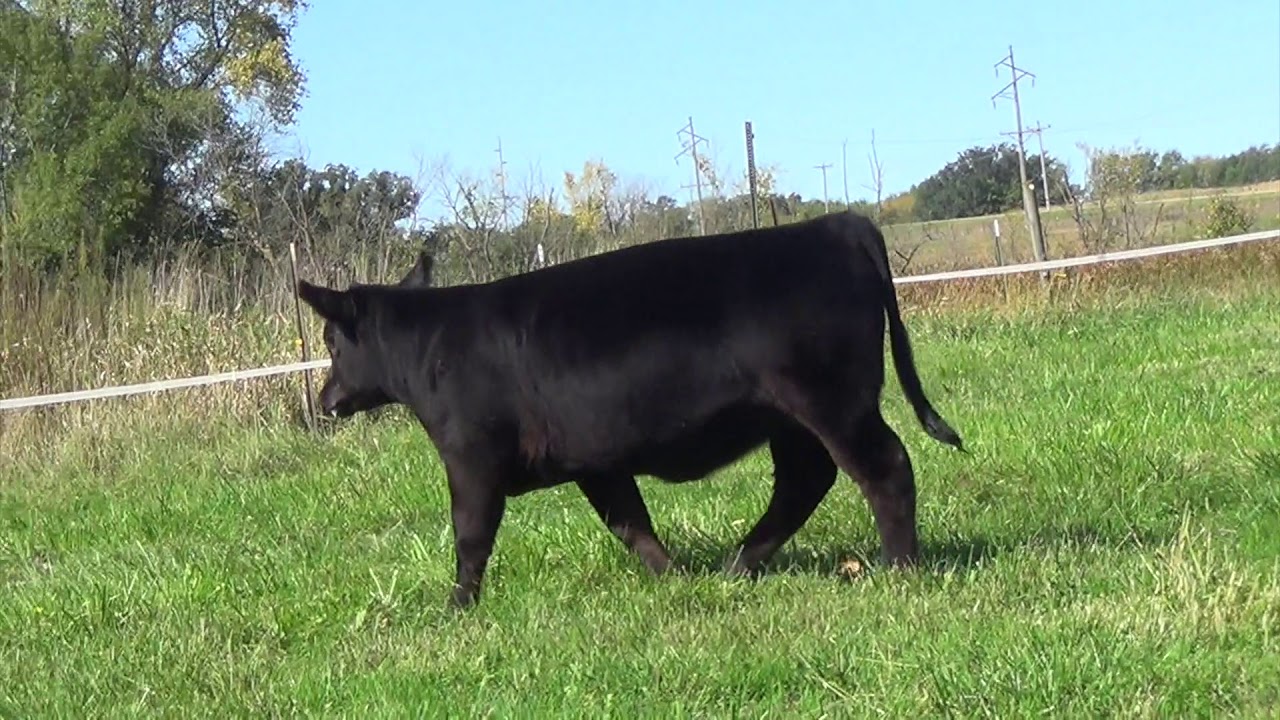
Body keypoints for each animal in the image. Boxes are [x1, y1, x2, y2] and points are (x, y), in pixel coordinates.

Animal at [296, 210, 964, 609]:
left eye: (332, 341)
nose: (326, 400)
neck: (433, 346)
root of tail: (833, 224)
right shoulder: (594, 459)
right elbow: (629, 522)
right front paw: (672, 578)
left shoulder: (471, 456)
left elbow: (471, 533)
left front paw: (460, 604)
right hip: (792, 419)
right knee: (805, 481)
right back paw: (738, 567)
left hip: (833, 401)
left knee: (884, 468)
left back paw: (900, 570)